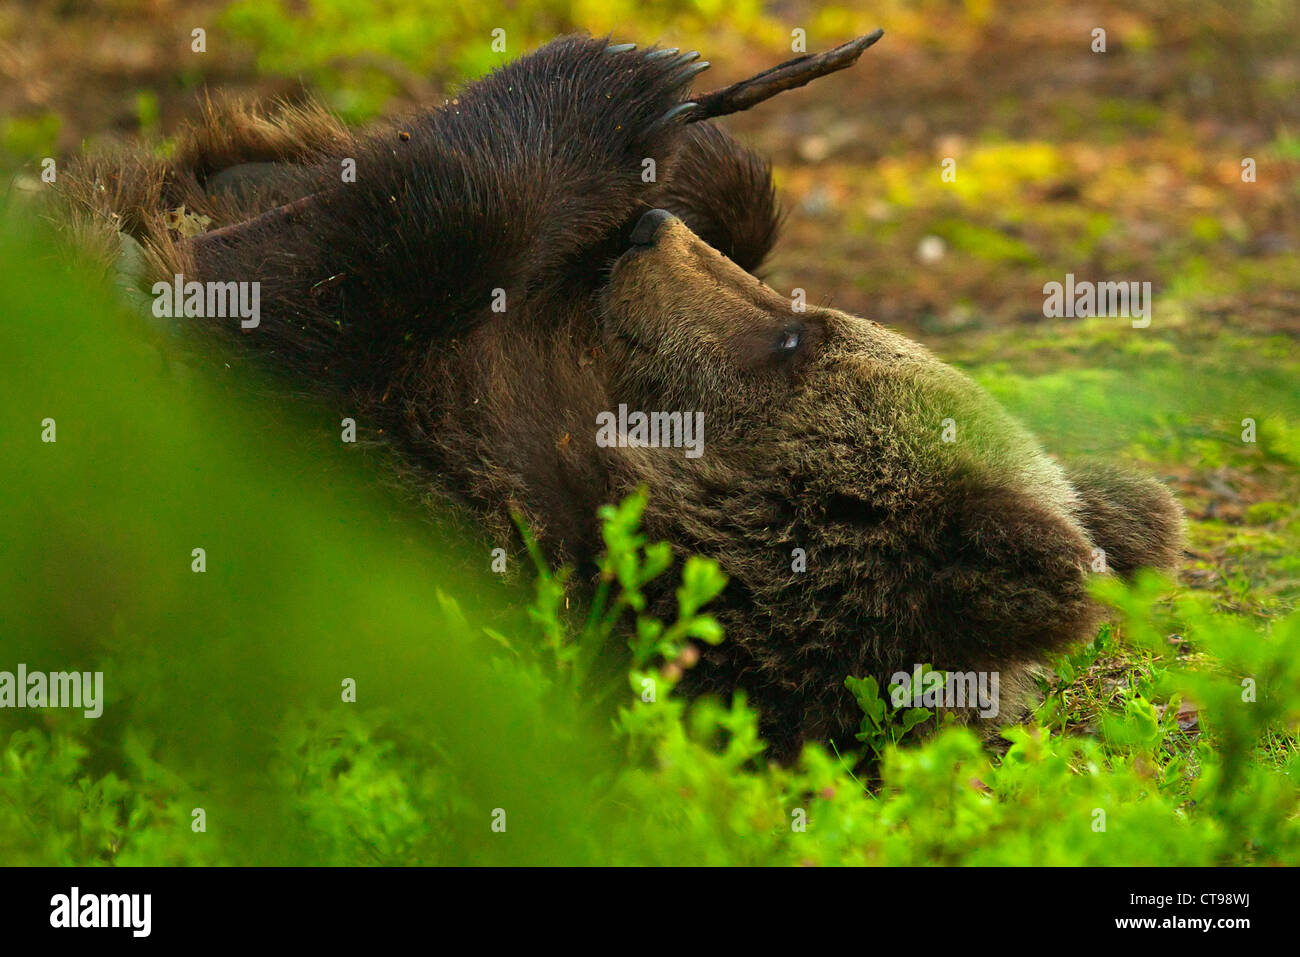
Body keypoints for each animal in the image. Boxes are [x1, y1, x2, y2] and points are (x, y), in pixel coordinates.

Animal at [55, 34, 1183, 761]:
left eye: (797, 340)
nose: (649, 236)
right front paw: (696, 133)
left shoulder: (404, 464)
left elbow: (303, 295)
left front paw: (621, 83)